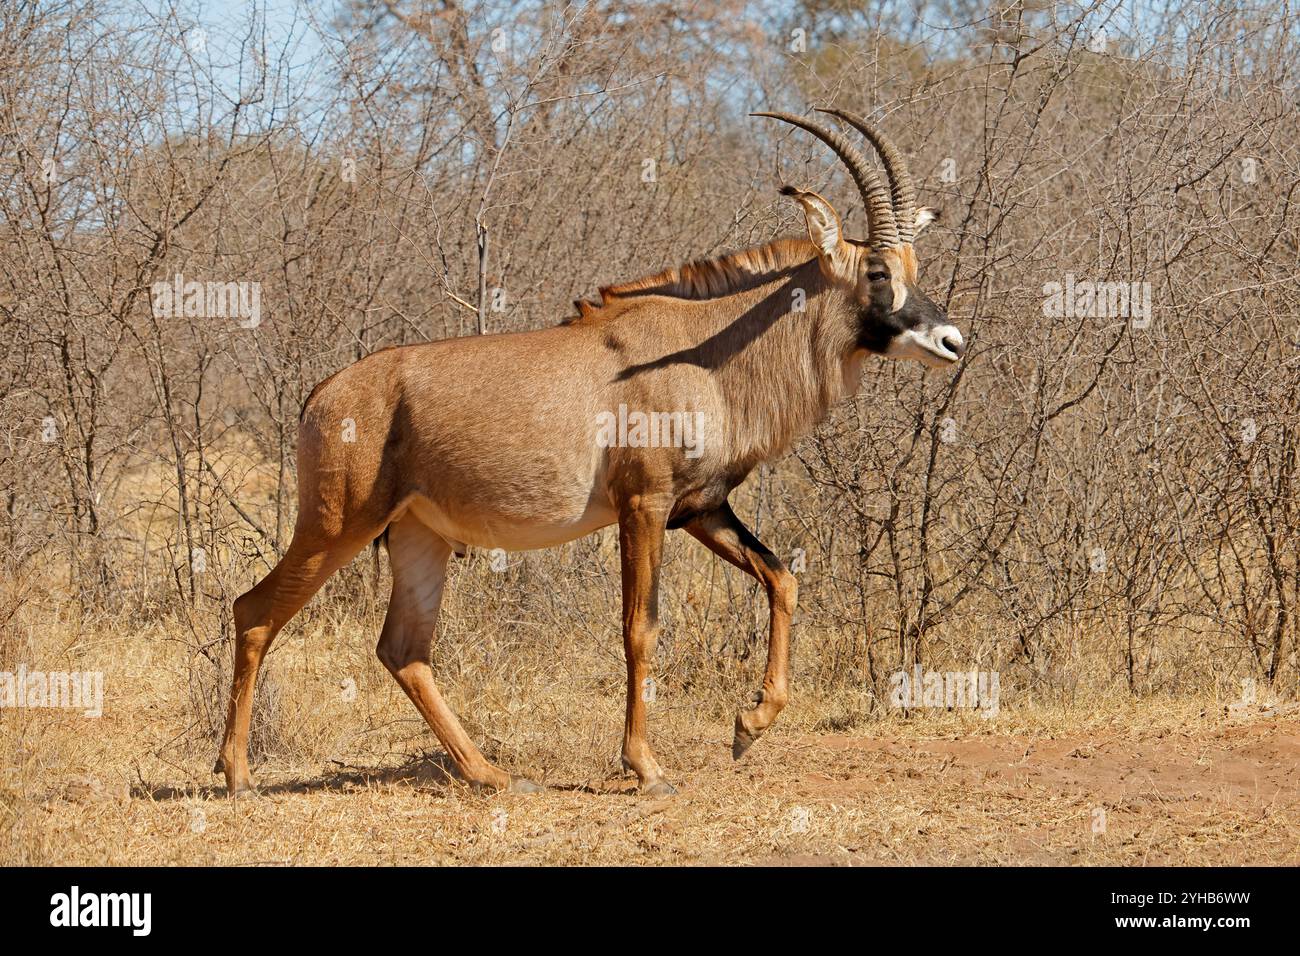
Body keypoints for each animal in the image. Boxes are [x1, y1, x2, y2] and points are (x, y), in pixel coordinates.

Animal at [215, 109, 965, 797]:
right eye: (877, 271)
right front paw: (646, 766)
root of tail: (323, 393)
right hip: (337, 524)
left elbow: (783, 580)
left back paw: (490, 773)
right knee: (255, 612)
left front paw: (749, 726)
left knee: (402, 650)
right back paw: (237, 774)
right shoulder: (644, 506)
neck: (704, 352)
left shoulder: (701, 508)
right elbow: (640, 628)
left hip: (416, 536)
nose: (951, 341)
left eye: (913, 266)